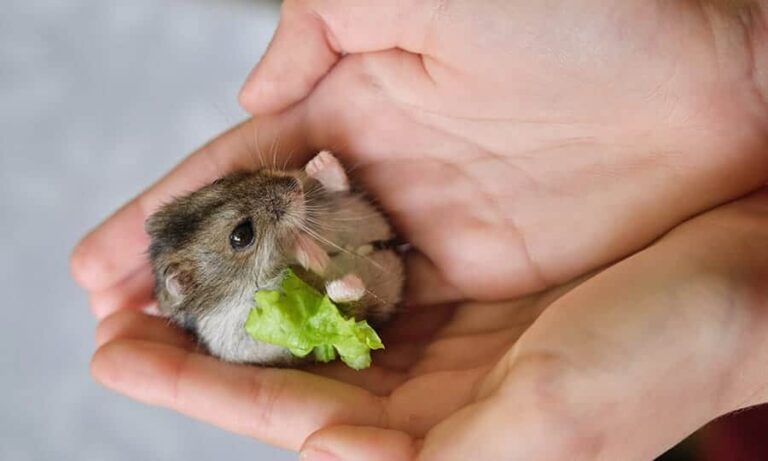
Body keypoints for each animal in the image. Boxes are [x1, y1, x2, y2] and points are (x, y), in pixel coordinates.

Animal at [145, 151, 404, 365]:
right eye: (241, 235)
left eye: (218, 181)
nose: (294, 183)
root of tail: (388, 246)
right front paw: (300, 246)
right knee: (343, 298)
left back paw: (321, 163)